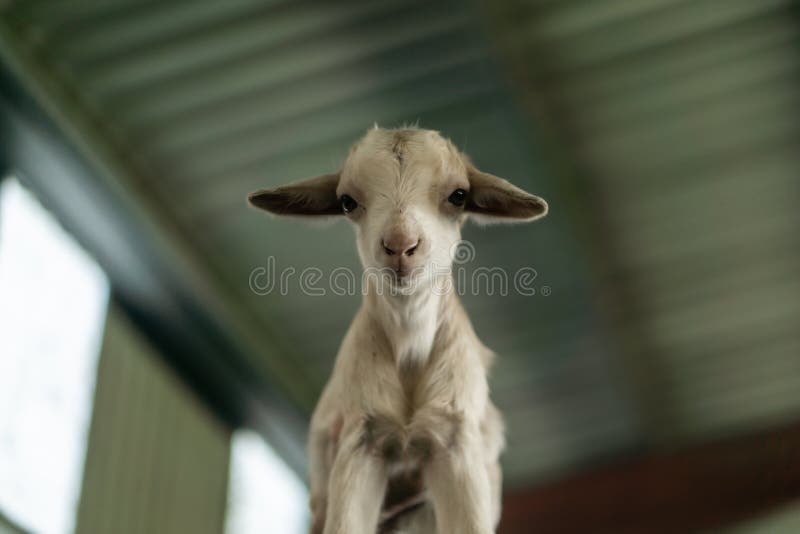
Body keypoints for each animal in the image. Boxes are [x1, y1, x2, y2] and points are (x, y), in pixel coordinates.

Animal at [248, 127, 547, 534]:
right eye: (347, 201)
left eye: (458, 195)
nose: (400, 246)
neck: (409, 348)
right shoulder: (361, 438)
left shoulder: (455, 440)